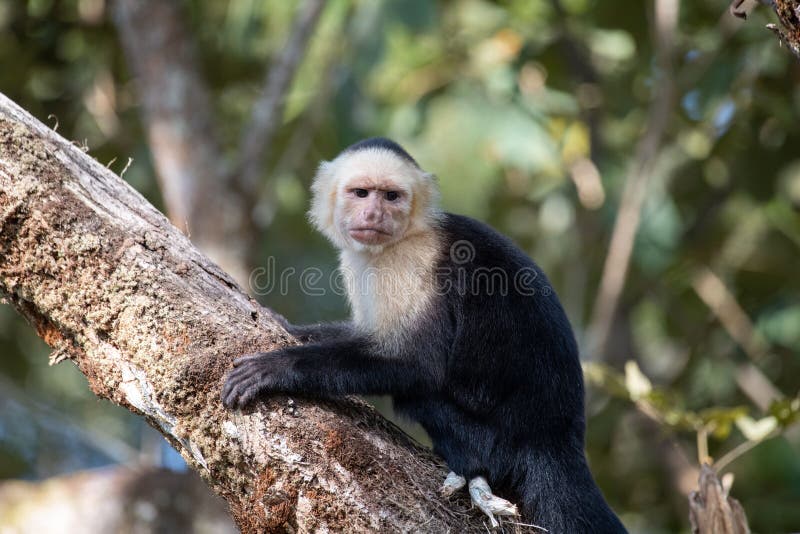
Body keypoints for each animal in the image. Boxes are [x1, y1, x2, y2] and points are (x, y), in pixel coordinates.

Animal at [222, 137, 627, 533]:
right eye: (360, 193)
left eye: (391, 196)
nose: (374, 215)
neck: (405, 236)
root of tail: (557, 437)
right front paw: (287, 325)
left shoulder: (411, 263)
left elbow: (418, 365)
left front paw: (279, 367)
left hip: (500, 441)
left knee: (417, 396)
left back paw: (468, 464)